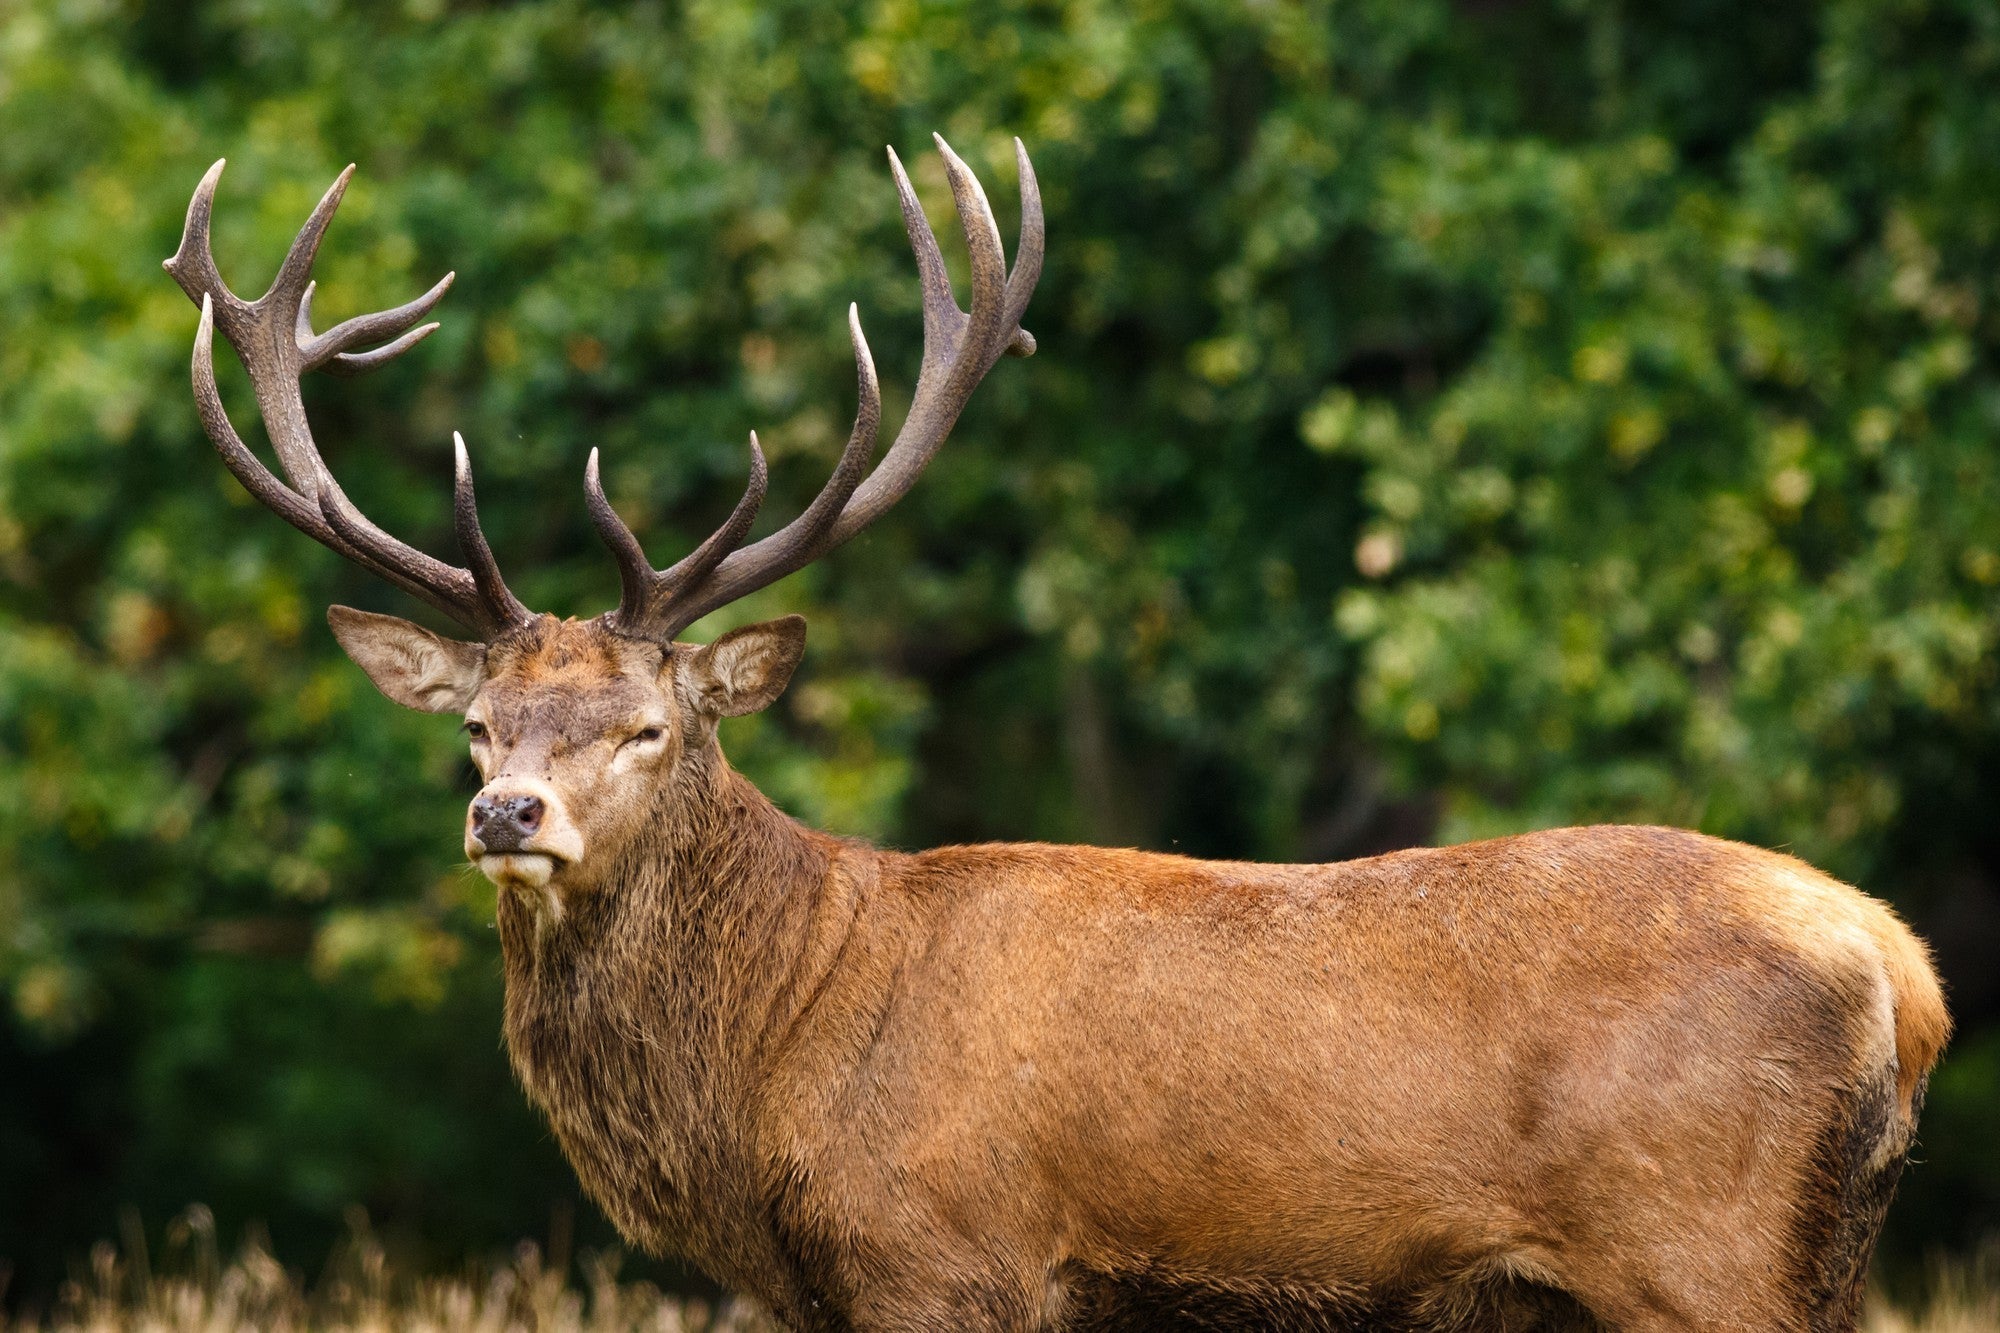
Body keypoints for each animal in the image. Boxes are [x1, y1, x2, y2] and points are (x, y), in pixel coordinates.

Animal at [165, 138, 1947, 1333]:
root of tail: (1904, 969)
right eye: (478, 724)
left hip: (1698, 1246)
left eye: (651, 724)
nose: (510, 815)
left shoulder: (946, 1254)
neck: (775, 1086)